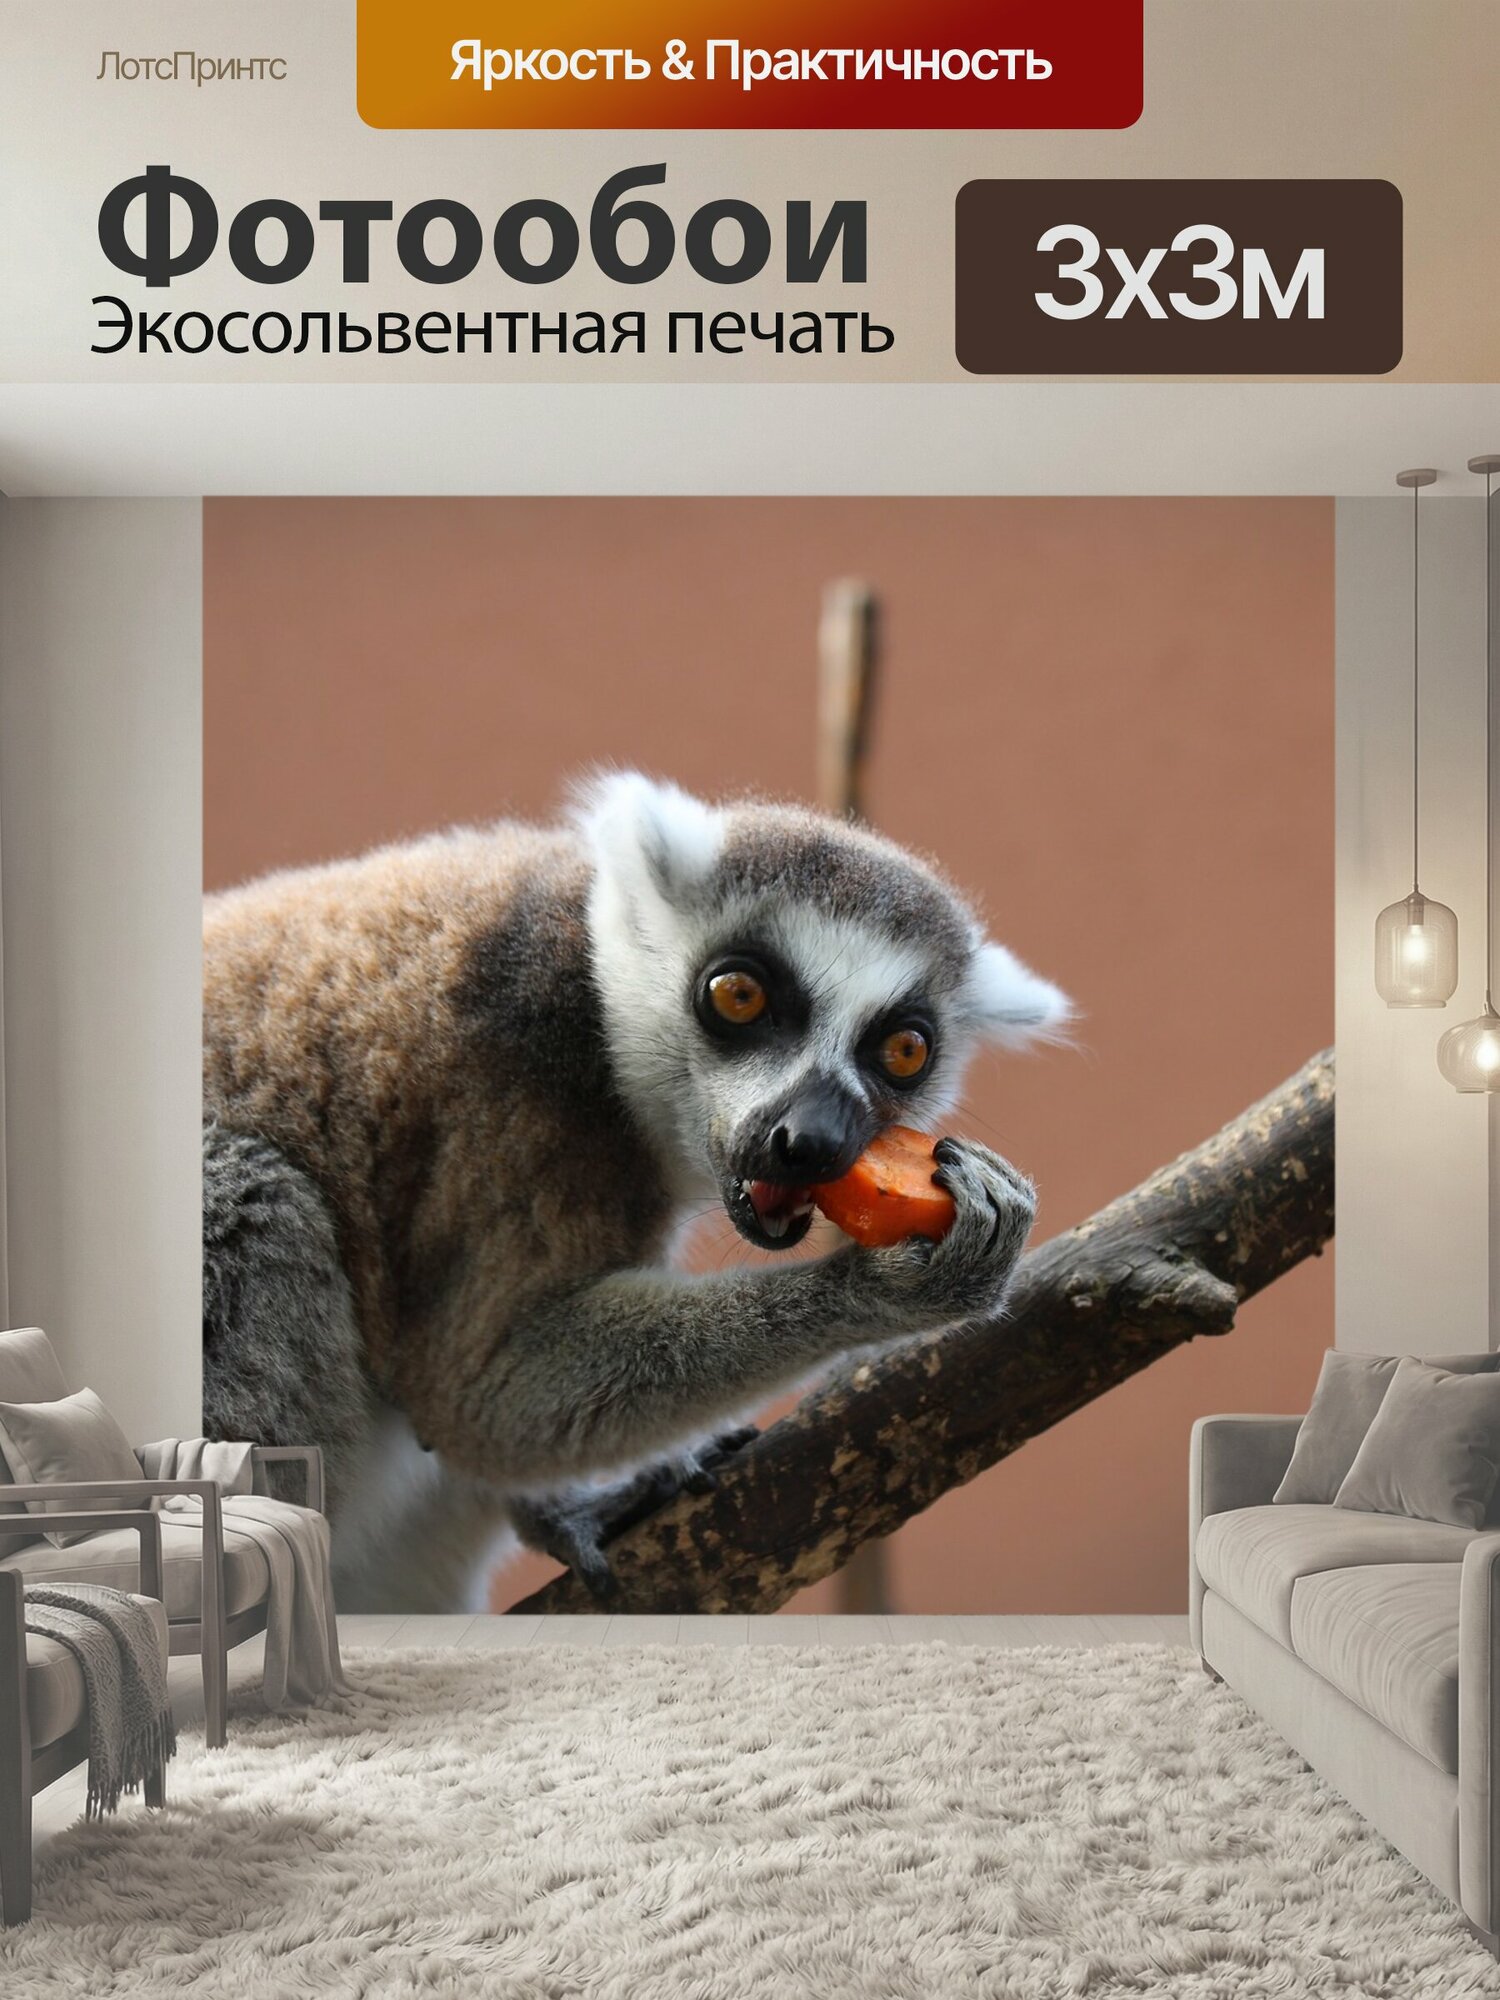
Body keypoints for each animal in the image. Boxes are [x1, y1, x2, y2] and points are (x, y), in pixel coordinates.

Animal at [202, 774, 1071, 1612]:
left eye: (904, 1050)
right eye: (739, 996)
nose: (811, 1139)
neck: (595, 1007)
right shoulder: (514, 1114)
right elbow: (479, 1395)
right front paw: (887, 1287)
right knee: (256, 1202)